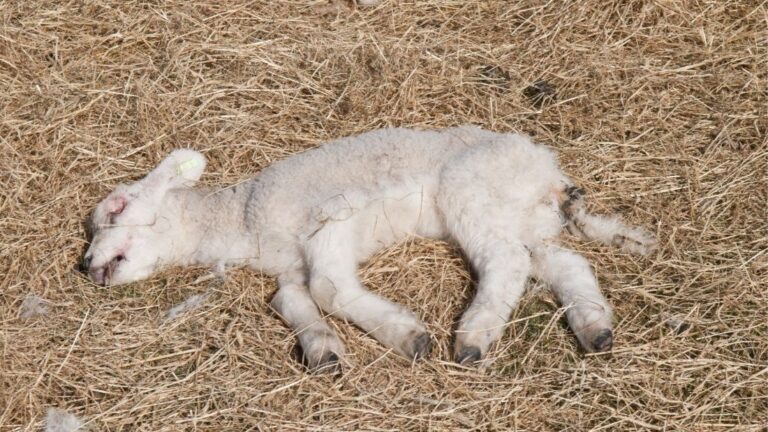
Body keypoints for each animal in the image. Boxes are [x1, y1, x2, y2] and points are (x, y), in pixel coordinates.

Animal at [82, 125, 656, 370]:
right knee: (563, 261)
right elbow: (290, 300)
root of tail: (548, 170)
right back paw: (595, 329)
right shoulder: (288, 266)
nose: (87, 265)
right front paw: (324, 353)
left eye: (116, 209)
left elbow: (328, 288)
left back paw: (472, 340)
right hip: (521, 215)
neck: (239, 219)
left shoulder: (331, 220)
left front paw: (408, 337)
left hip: (469, 191)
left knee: (507, 260)